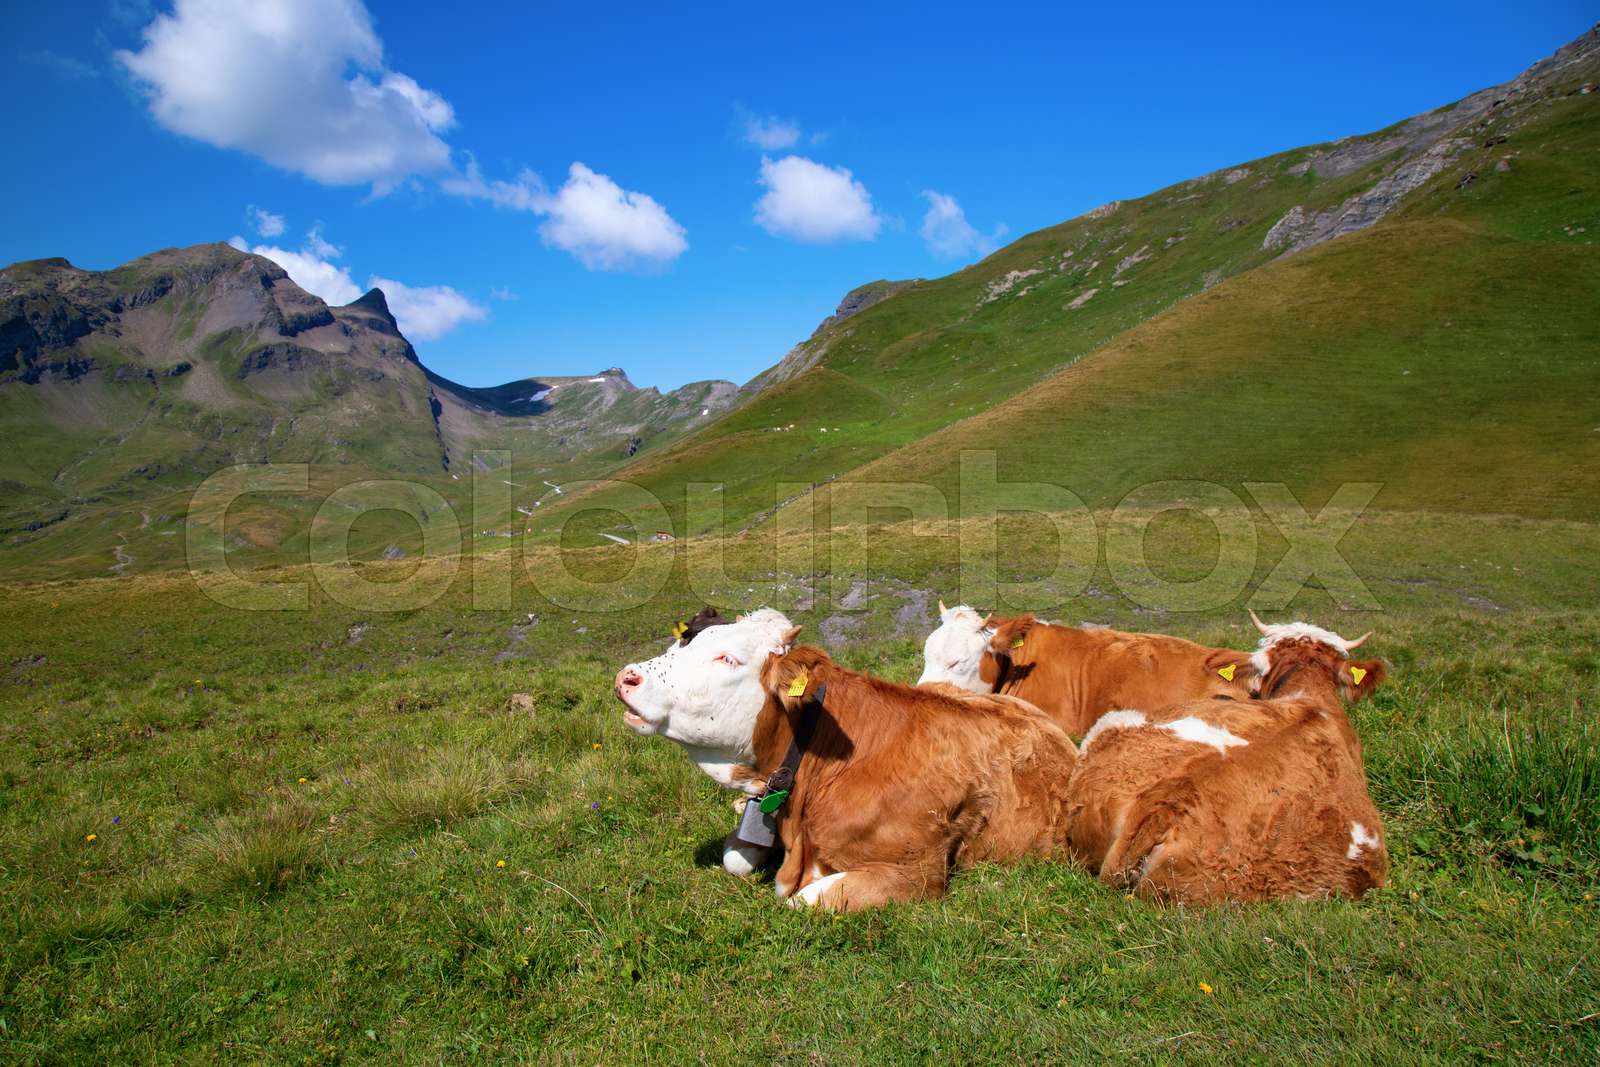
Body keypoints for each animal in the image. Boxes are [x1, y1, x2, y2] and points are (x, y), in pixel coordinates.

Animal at [614, 609, 1080, 910]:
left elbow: (803, 899)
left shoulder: (918, 872)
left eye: (728, 658)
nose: (626, 677)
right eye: (684, 639)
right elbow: (734, 859)